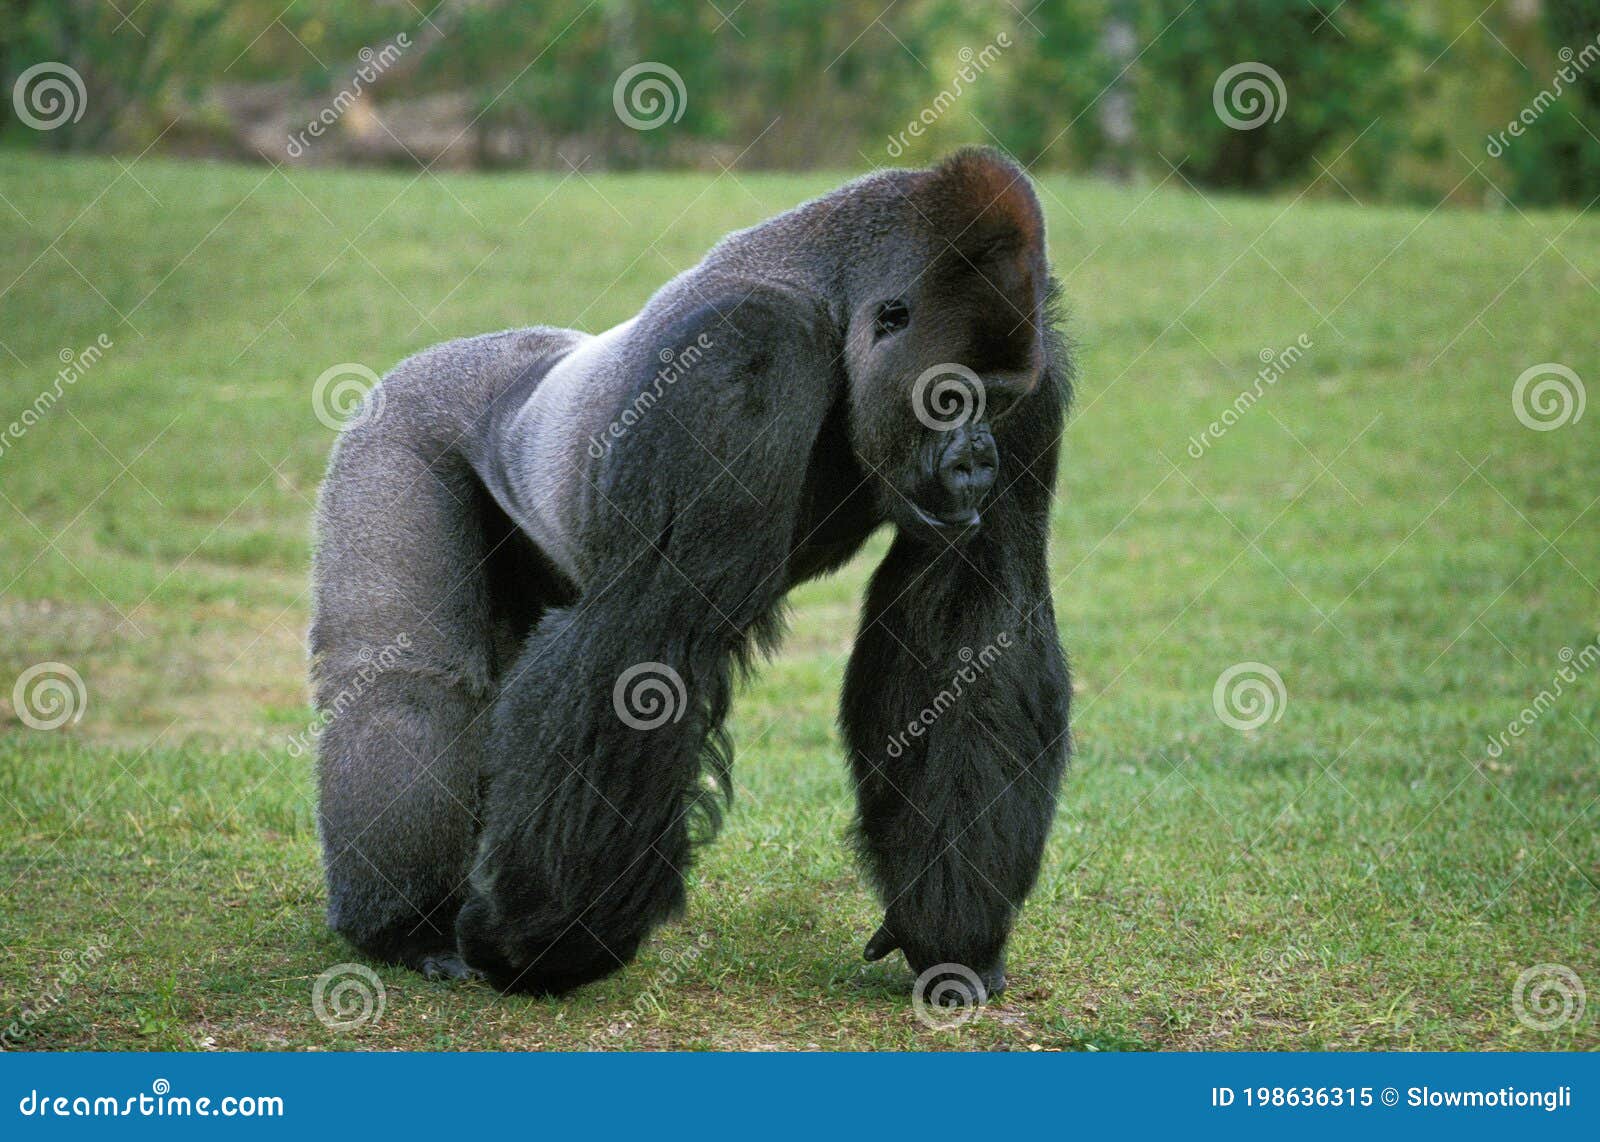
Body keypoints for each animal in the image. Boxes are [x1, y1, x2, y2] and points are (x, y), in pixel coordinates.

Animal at [309, 147, 1072, 1000]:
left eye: (997, 404)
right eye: (952, 399)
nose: (978, 462)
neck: (836, 299)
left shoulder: (1039, 366)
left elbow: (970, 619)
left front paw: (951, 926)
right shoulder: (741, 357)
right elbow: (652, 635)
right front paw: (542, 938)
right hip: (396, 422)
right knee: (414, 682)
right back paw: (405, 925)